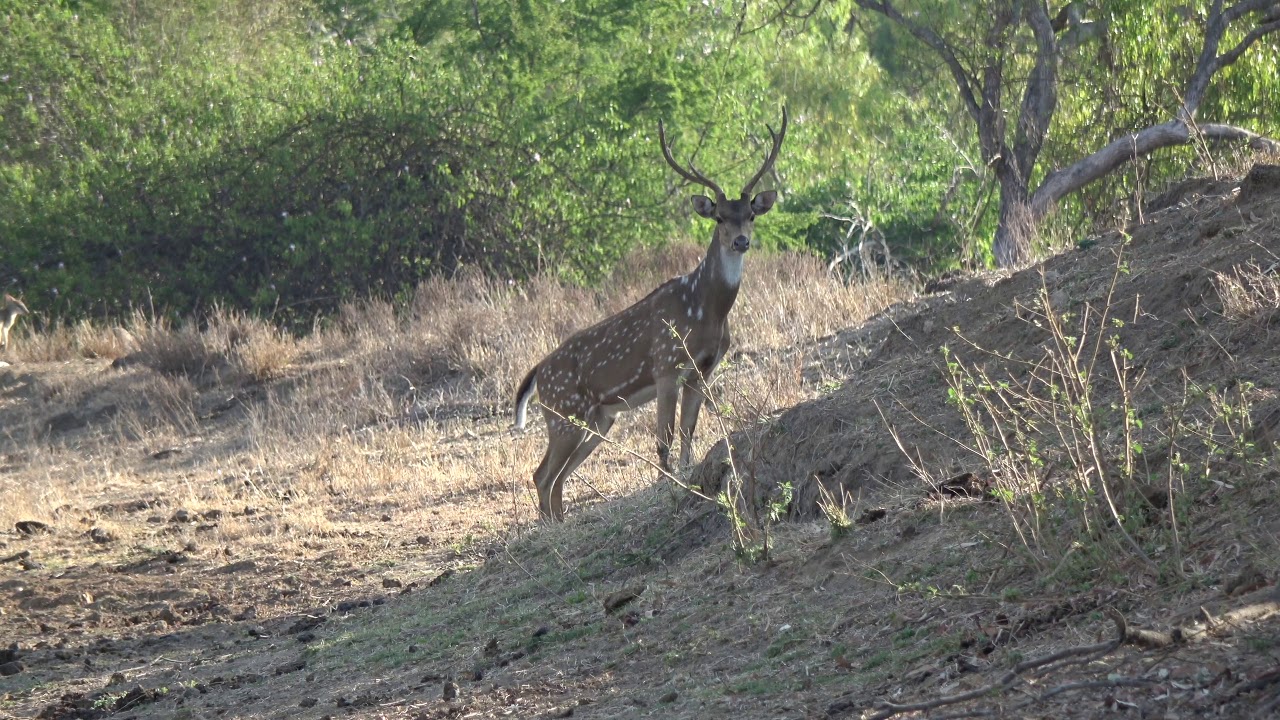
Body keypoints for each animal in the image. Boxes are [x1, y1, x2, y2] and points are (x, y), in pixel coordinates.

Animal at [514, 108, 788, 520]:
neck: (706, 310)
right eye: (719, 217)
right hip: (563, 412)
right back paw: (550, 527)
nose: (741, 240)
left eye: (751, 215)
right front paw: (665, 486)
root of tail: (536, 375)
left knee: (555, 476)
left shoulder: (703, 369)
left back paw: (557, 524)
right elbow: (664, 437)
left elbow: (689, 431)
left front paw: (687, 478)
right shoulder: (665, 364)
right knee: (543, 474)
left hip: (598, 418)